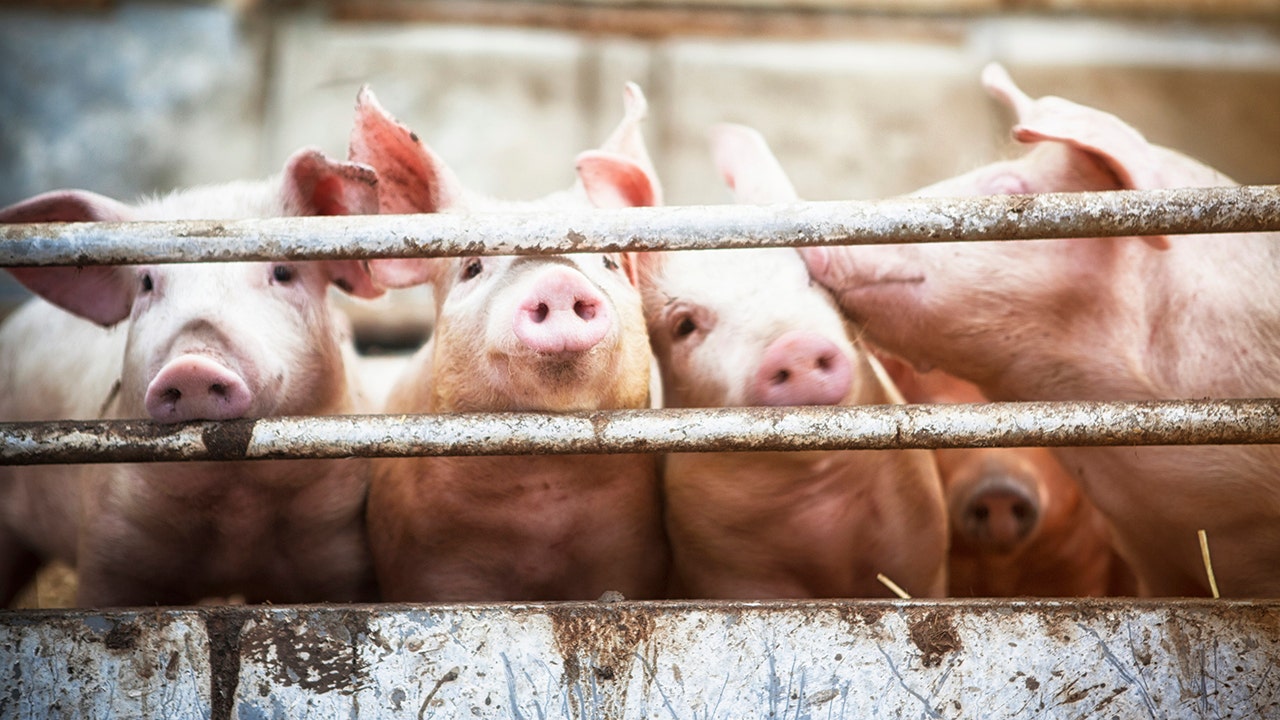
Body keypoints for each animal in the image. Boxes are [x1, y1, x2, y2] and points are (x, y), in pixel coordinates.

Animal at [0, 147, 384, 606]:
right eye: (146, 283)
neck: (239, 508)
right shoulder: (112, 544)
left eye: (283, 273)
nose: (194, 365)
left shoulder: (339, 549)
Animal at [353, 84, 669, 601]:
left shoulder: (628, 554)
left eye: (609, 262)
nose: (558, 280)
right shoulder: (432, 565)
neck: (539, 487)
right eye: (471, 267)